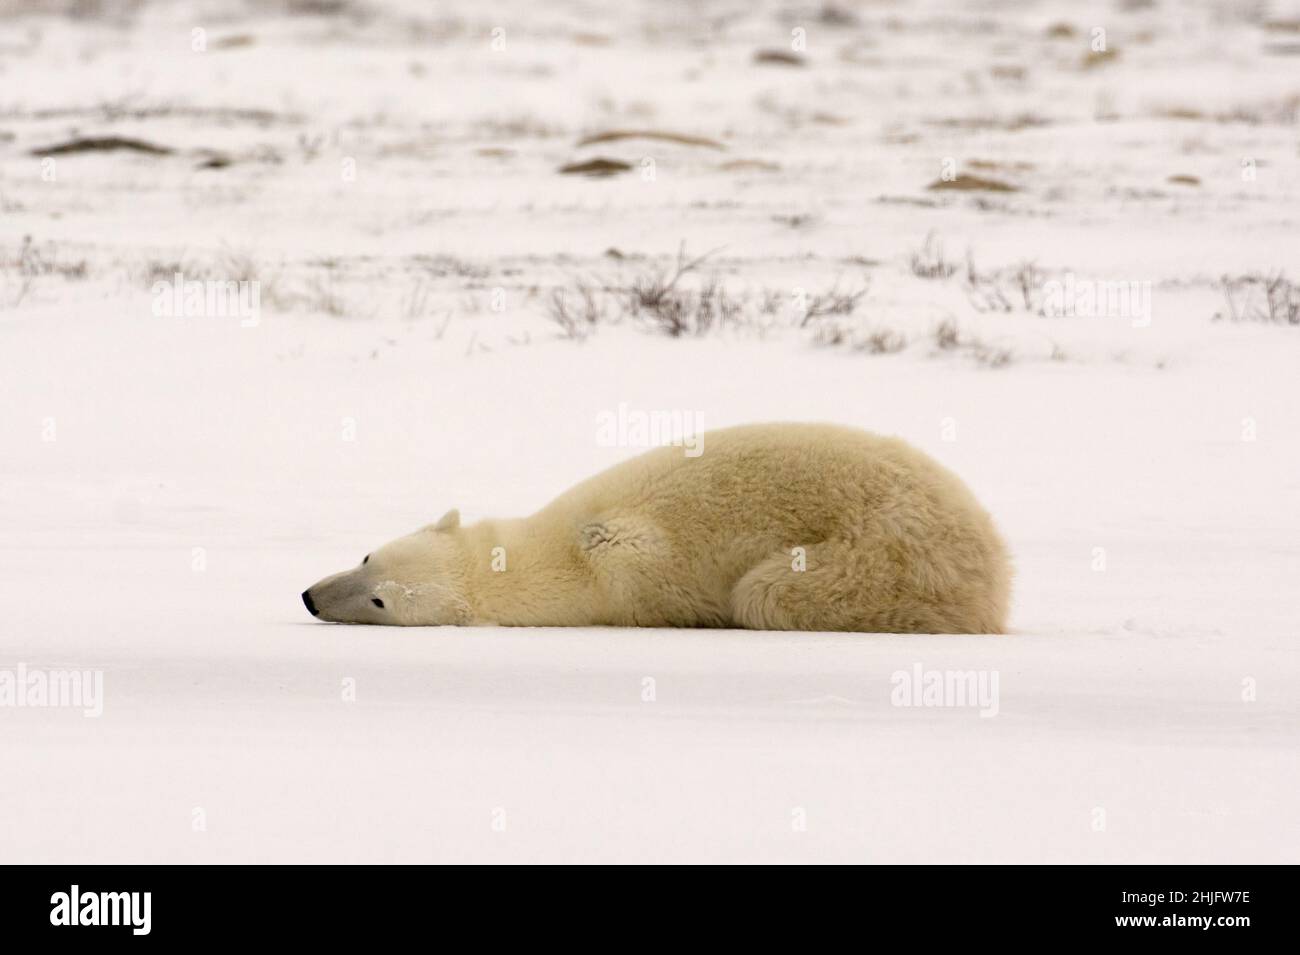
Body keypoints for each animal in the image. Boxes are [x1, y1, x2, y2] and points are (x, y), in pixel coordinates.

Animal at [301, 422, 1012, 633]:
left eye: (379, 601)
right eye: (366, 557)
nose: (308, 596)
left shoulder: (628, 569)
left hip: (885, 555)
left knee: (768, 593)